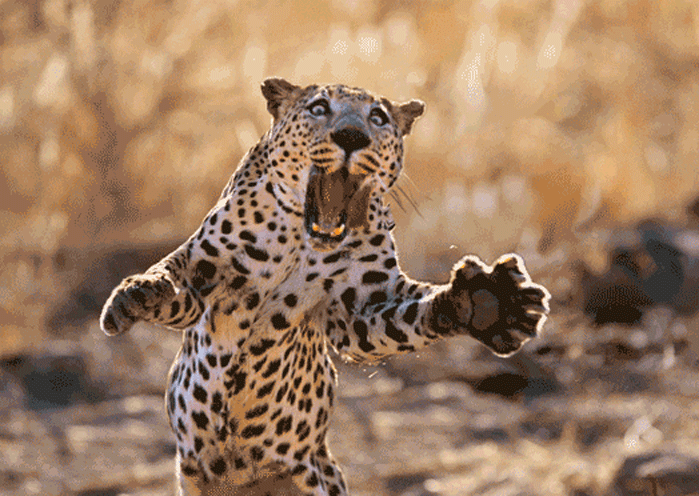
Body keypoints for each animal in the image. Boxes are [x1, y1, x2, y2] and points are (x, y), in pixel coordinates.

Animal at [100, 78, 550, 496]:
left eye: (377, 118)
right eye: (319, 108)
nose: (351, 137)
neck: (301, 242)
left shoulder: (362, 306)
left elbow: (411, 315)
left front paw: (489, 303)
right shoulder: (206, 267)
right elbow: (172, 279)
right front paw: (136, 295)